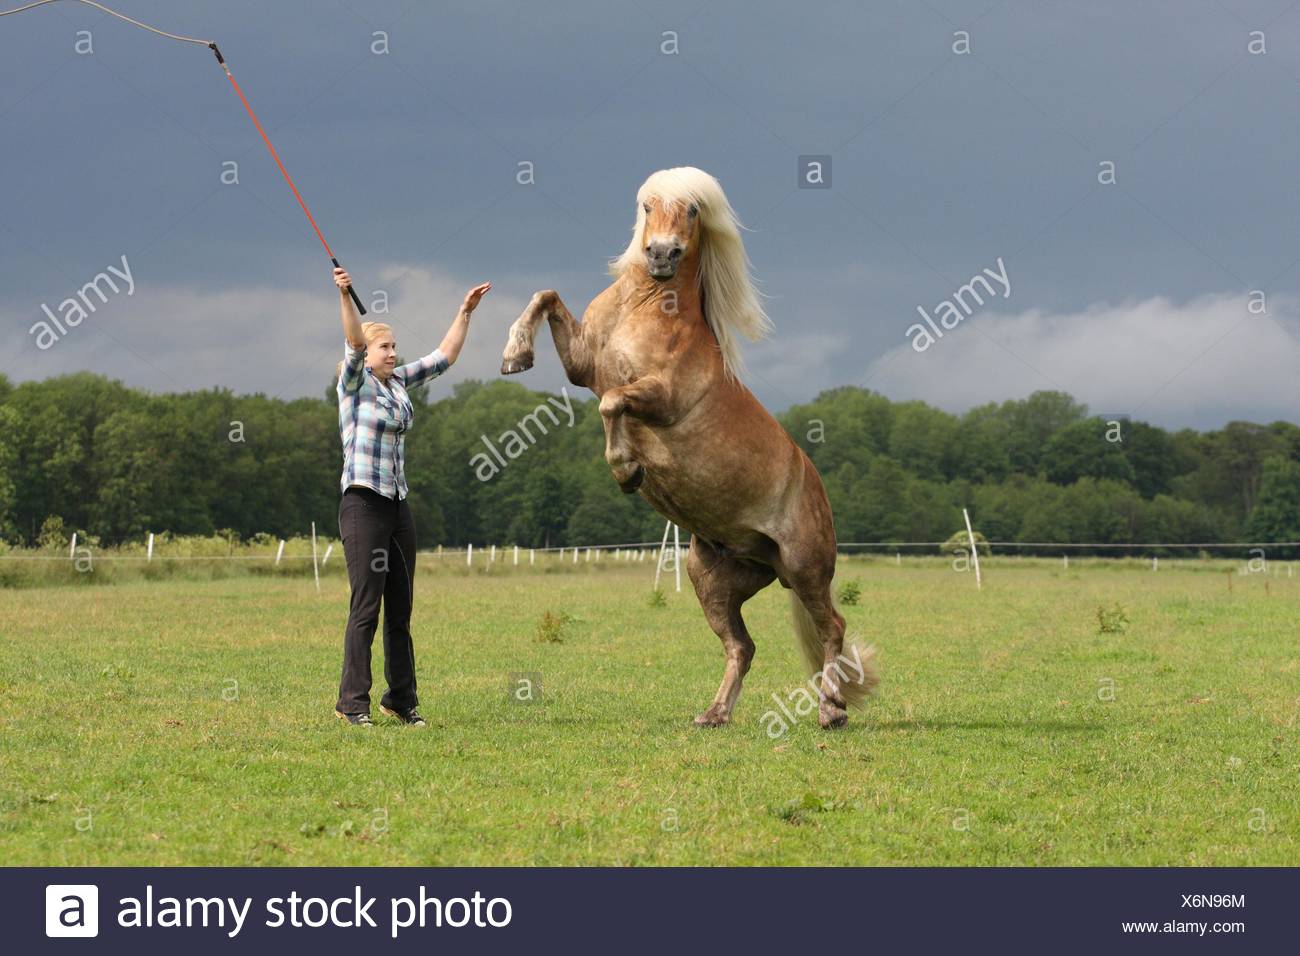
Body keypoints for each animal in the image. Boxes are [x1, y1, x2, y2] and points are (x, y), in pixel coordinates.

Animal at [500, 166, 878, 729]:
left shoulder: (662, 398)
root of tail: (814, 485)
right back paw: (714, 714)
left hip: (805, 566)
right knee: (743, 646)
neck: (645, 307)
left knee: (832, 626)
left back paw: (831, 710)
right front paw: (514, 355)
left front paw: (627, 470)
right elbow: (546, 296)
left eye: (694, 210)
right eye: (646, 205)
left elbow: (612, 403)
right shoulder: (584, 364)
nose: (661, 254)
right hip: (714, 579)